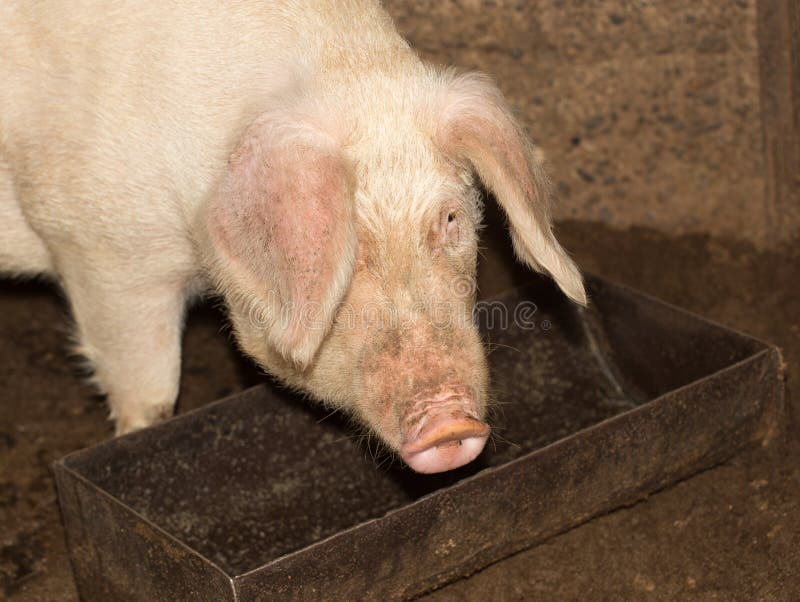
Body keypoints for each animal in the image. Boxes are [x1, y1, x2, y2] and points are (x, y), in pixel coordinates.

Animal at [0, 0, 585, 473]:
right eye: (350, 247)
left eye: (449, 219)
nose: (451, 423)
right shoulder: (101, 250)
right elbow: (147, 388)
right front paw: (137, 436)